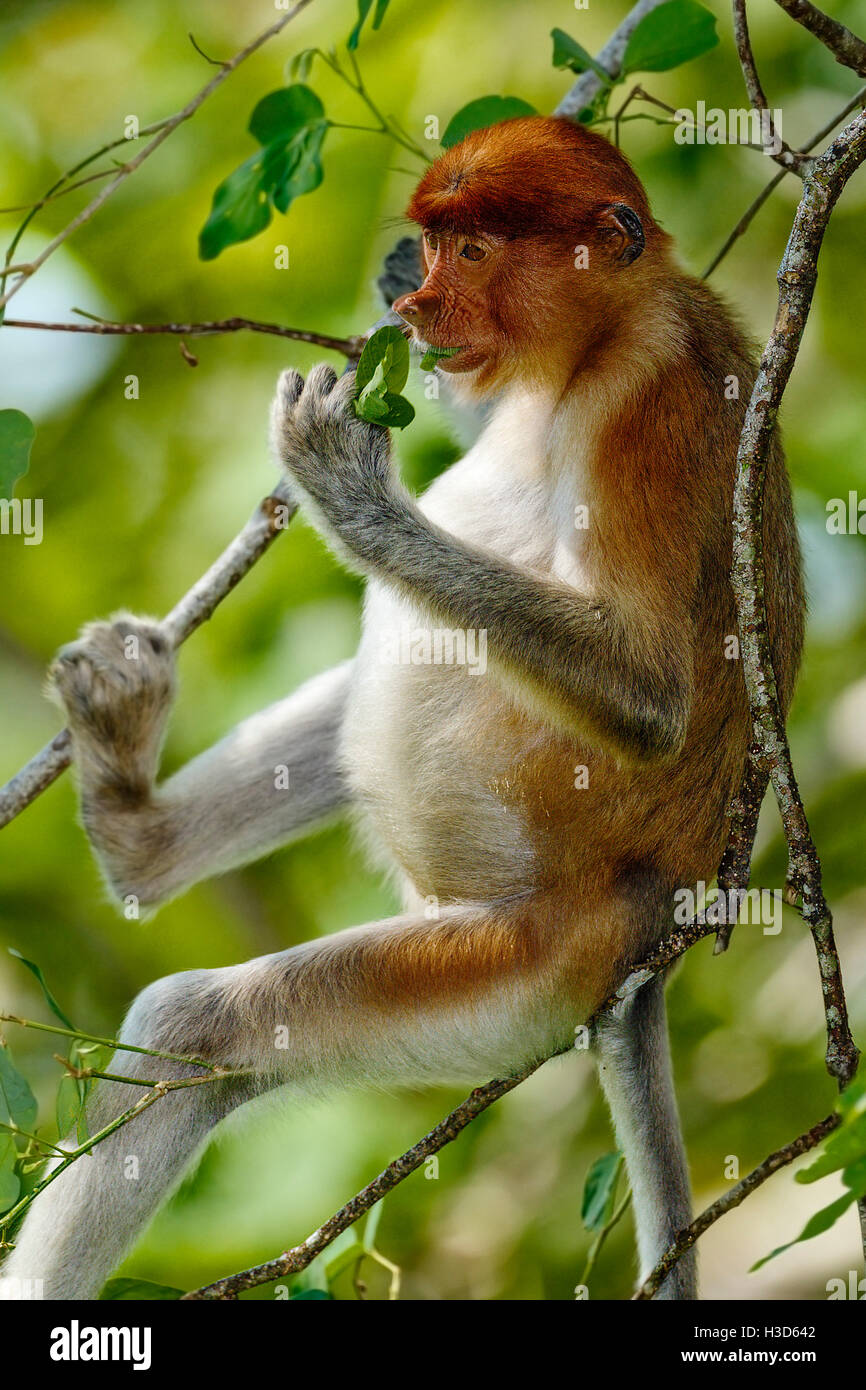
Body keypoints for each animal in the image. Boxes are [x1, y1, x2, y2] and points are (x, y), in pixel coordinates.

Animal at [2, 115, 804, 1301]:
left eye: (474, 253)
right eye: (433, 248)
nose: (420, 306)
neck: (592, 344)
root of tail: (654, 911)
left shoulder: (653, 393)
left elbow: (650, 696)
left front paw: (343, 482)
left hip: (514, 968)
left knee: (202, 1028)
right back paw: (133, 826)